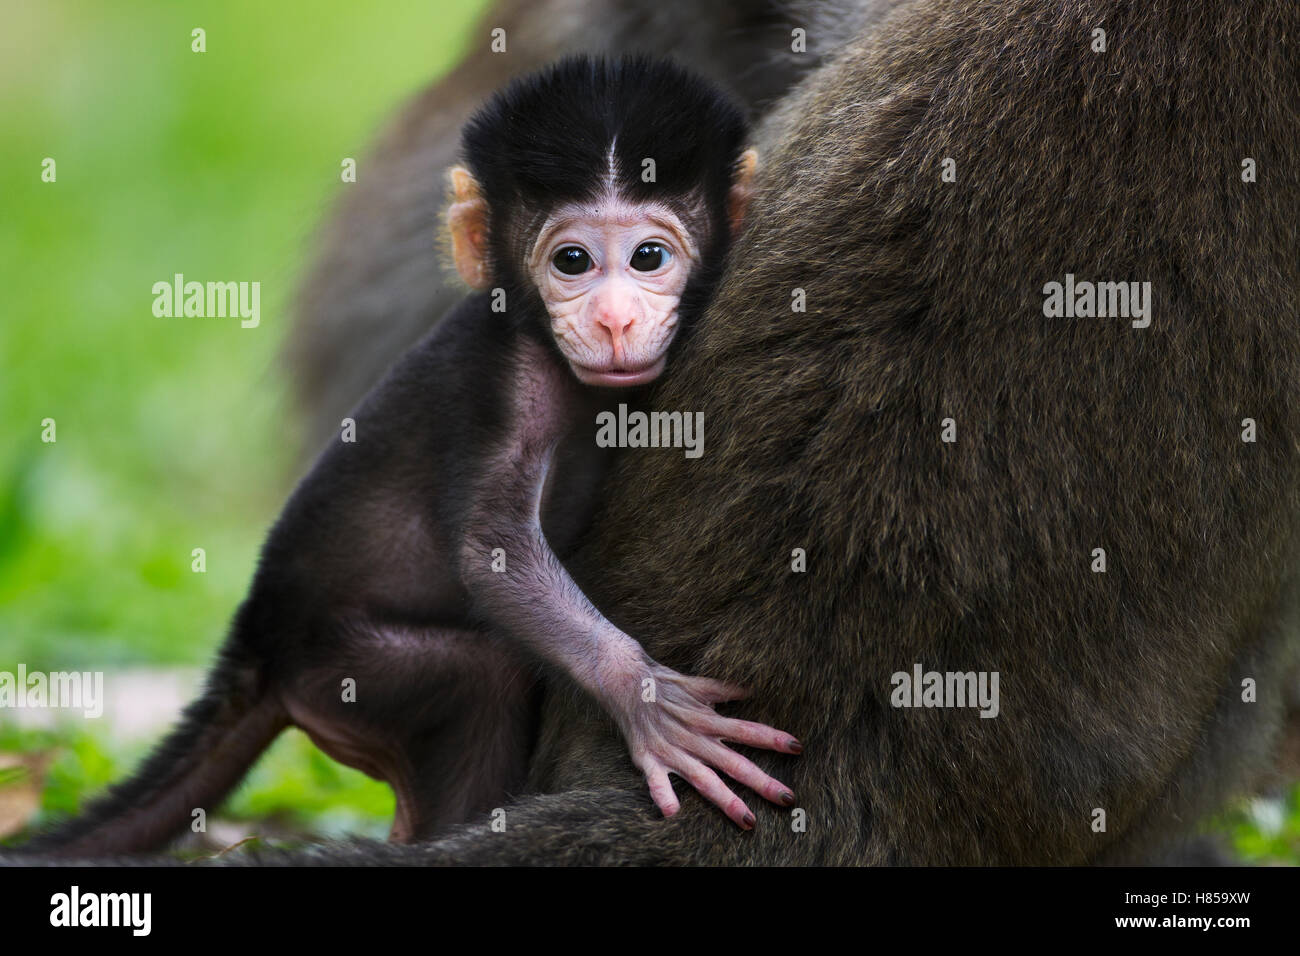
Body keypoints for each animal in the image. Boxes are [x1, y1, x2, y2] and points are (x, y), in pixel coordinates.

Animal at [21, 56, 800, 858]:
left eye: (649, 256)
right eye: (572, 261)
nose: (613, 320)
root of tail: (260, 636)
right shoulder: (505, 382)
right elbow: (494, 551)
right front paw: (644, 700)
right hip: (342, 669)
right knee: (485, 675)